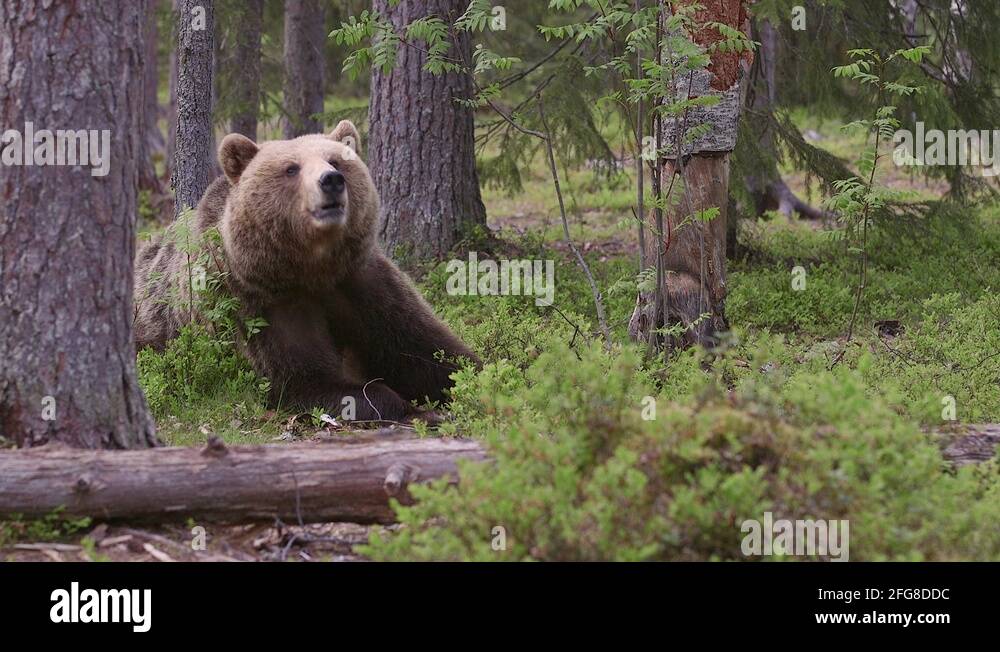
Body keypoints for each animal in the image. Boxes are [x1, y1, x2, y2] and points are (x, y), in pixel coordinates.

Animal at [133, 120, 477, 423]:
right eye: (291, 168)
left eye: (336, 160)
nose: (331, 180)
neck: (314, 267)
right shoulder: (260, 302)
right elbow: (303, 379)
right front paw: (415, 409)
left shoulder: (363, 282)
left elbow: (424, 350)